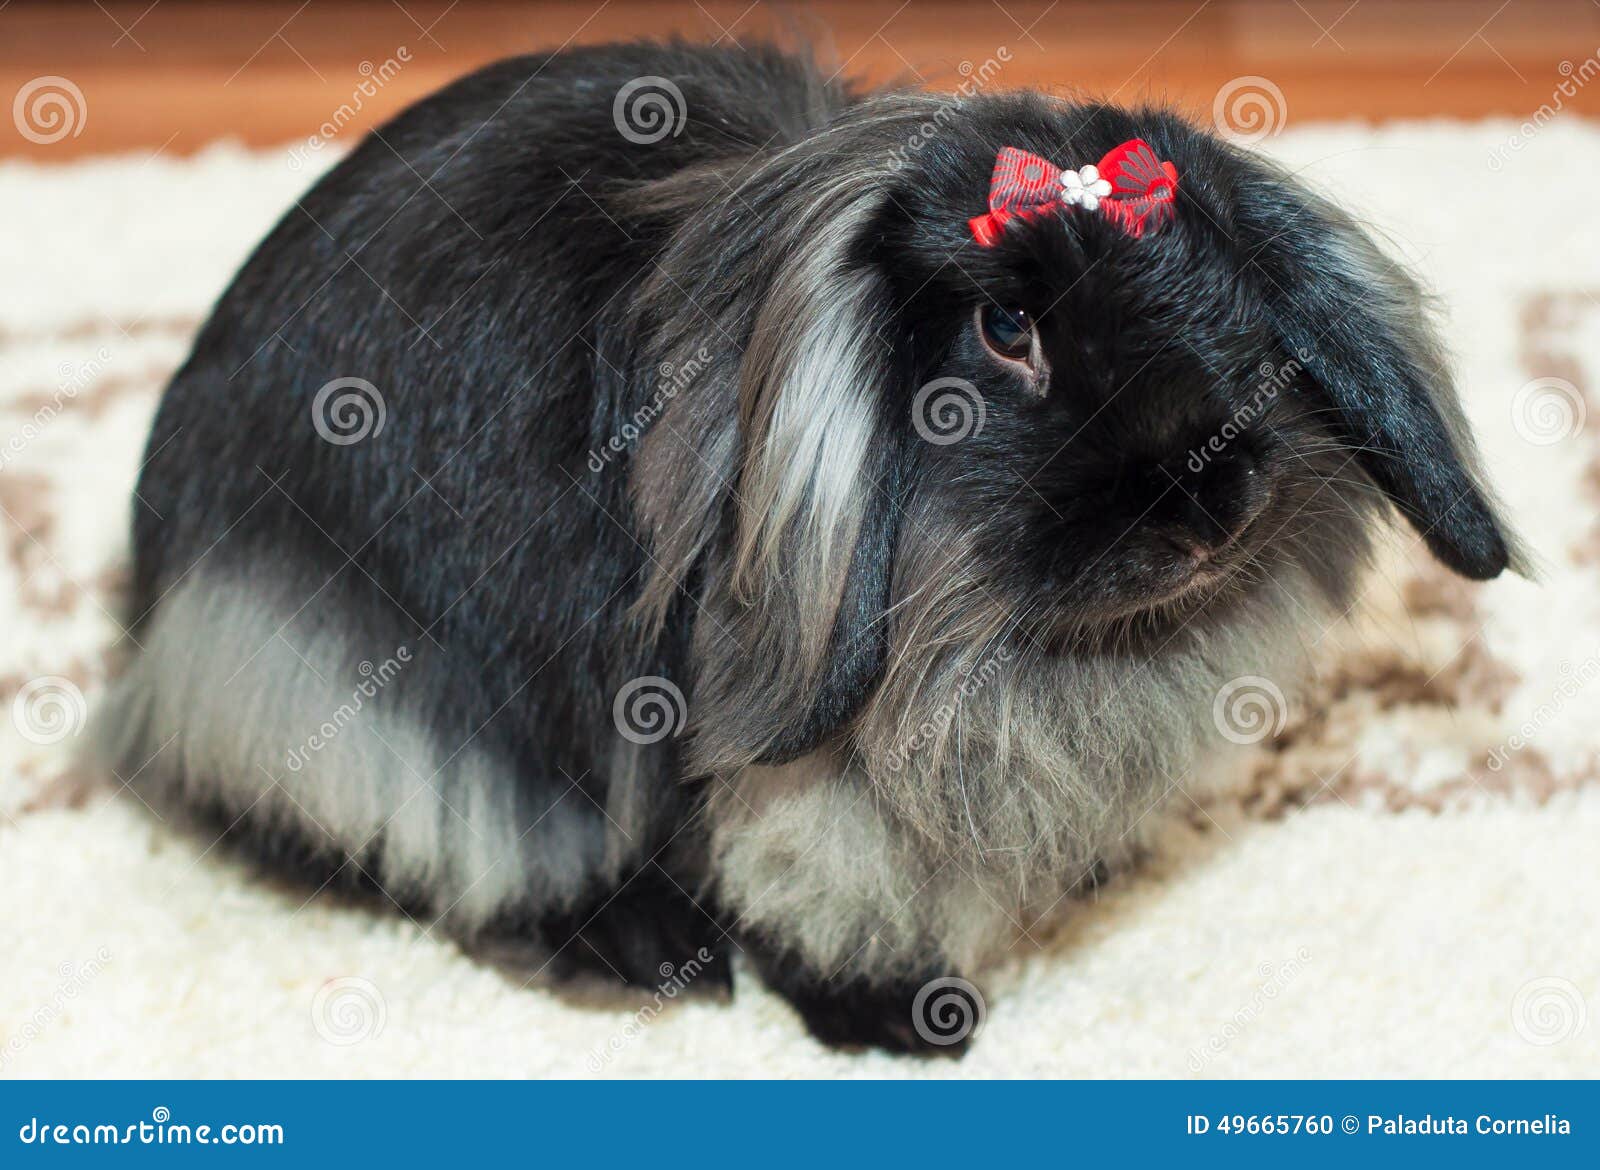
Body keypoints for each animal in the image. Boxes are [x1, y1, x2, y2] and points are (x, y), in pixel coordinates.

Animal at [98, 38, 1519, 1056]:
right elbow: (815, 876)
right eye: (1006, 330)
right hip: (380, 710)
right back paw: (636, 956)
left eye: (1223, 281)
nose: (1207, 501)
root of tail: (153, 635)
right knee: (466, 856)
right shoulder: (793, 773)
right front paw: (900, 1020)